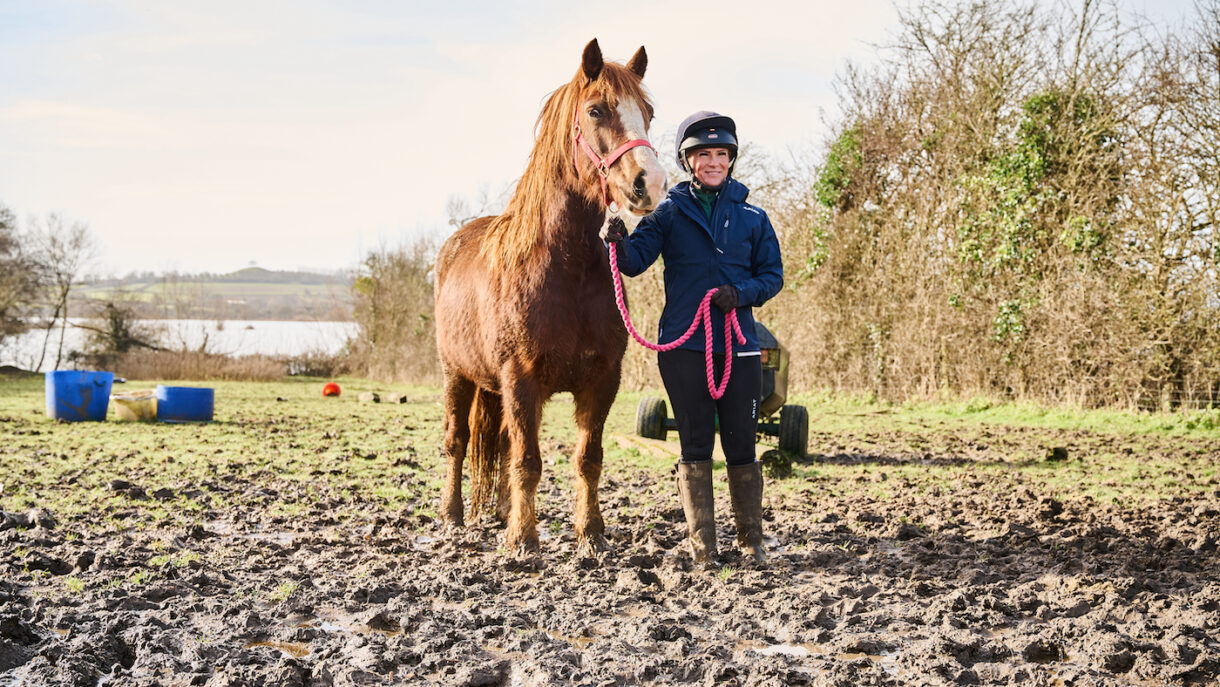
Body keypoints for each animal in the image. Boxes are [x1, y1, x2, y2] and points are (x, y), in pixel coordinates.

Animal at [433, 39, 666, 553]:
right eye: (596, 110)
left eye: (649, 113)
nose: (651, 184)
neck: (567, 268)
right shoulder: (522, 379)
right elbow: (529, 460)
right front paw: (523, 542)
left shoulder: (602, 379)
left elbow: (586, 458)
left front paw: (591, 536)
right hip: (457, 375)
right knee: (458, 440)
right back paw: (453, 517)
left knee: (500, 441)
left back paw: (502, 513)